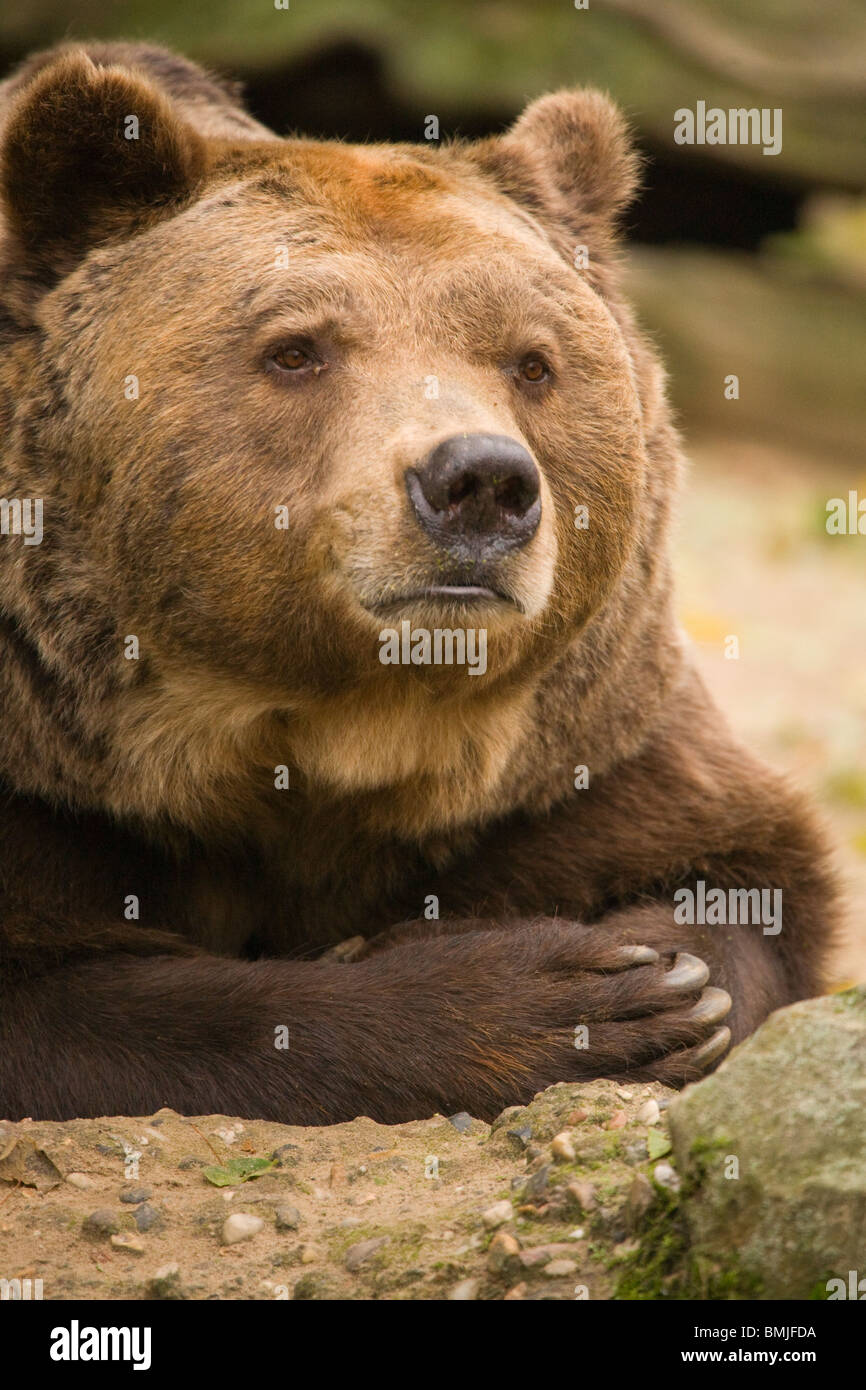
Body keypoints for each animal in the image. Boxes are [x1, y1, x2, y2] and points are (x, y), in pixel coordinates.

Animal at [0, 42, 839, 1125]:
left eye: (530, 362)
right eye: (296, 348)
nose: (479, 482)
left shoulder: (573, 746)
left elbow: (742, 878)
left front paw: (664, 982)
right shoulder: (51, 766)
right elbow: (94, 1000)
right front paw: (542, 994)